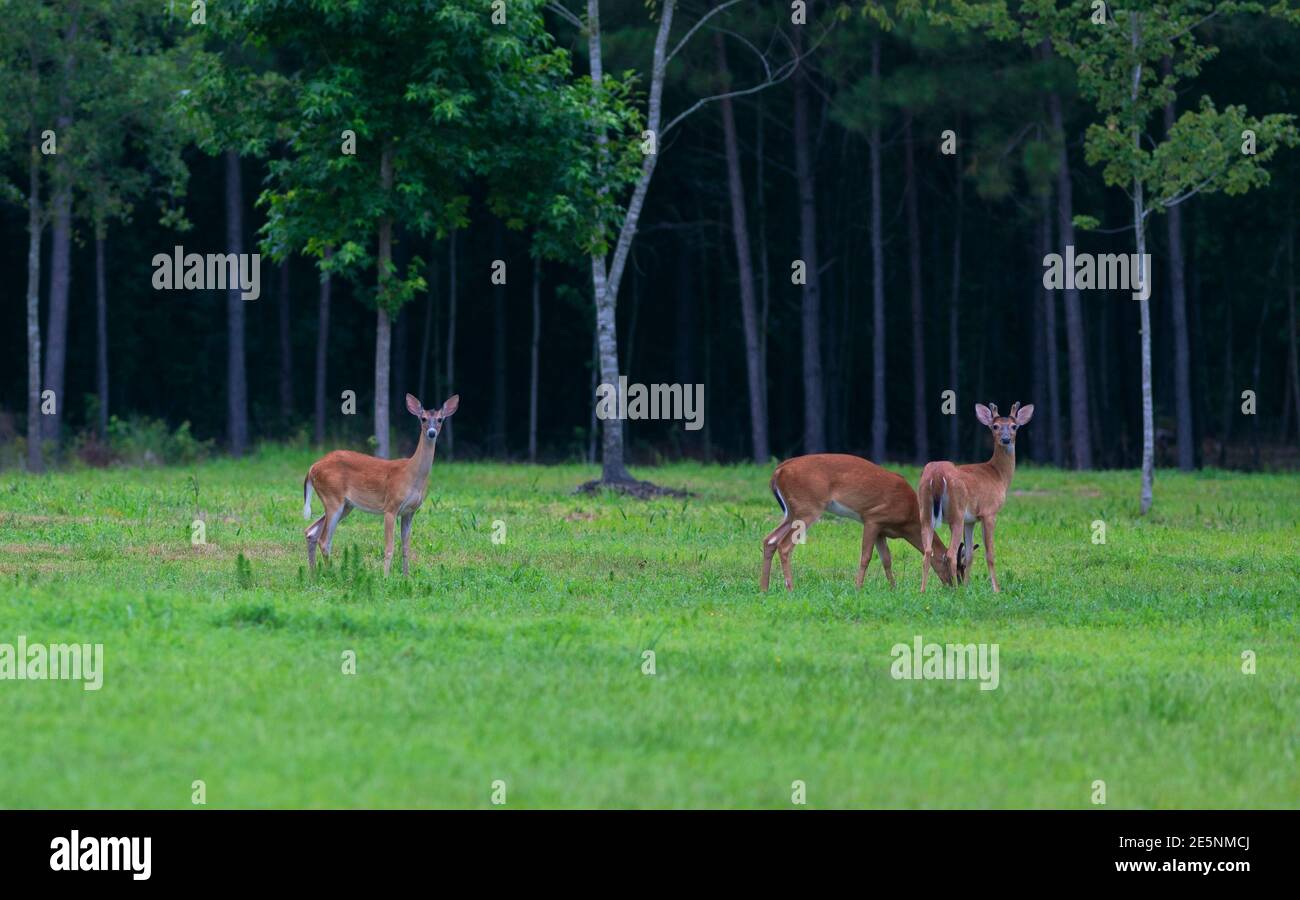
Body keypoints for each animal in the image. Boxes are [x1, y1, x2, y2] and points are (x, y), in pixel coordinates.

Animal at [302, 393, 459, 576]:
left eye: (440, 419)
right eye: (423, 418)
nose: (432, 432)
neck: (411, 474)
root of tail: (313, 467)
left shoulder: (410, 511)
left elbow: (405, 547)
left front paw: (406, 577)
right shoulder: (391, 506)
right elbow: (389, 547)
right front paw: (385, 577)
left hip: (346, 505)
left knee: (311, 532)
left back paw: (314, 573)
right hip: (332, 497)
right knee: (324, 539)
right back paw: (332, 573)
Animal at [760, 453, 965, 592]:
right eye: (957, 566)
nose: (955, 586)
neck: (909, 518)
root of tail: (778, 472)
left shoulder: (882, 530)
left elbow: (887, 559)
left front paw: (893, 588)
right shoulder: (873, 518)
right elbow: (866, 557)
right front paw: (858, 588)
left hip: (791, 512)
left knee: (769, 540)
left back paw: (764, 588)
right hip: (807, 508)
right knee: (784, 545)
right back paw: (790, 588)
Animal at [918, 401, 1034, 593]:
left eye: (1014, 426)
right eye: (995, 426)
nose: (1006, 439)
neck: (998, 475)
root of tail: (936, 475)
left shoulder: (971, 519)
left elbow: (971, 554)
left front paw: (967, 586)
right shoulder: (989, 513)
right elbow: (990, 553)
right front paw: (996, 589)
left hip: (925, 512)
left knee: (927, 551)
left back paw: (923, 590)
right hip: (956, 513)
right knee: (950, 553)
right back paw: (955, 591)